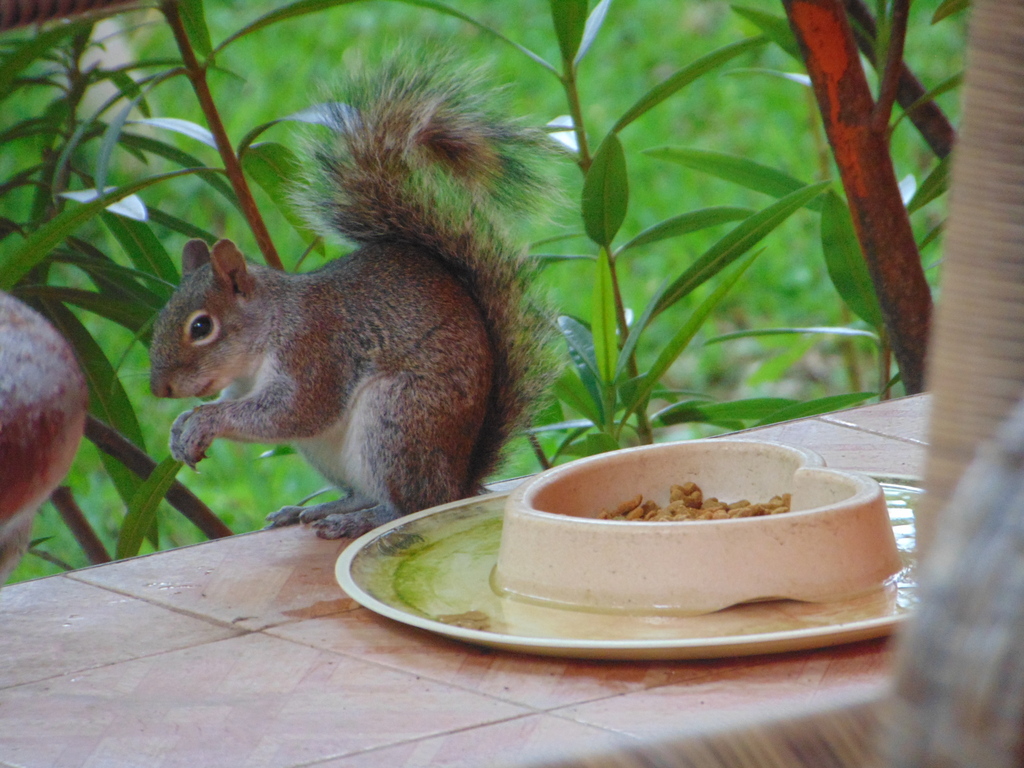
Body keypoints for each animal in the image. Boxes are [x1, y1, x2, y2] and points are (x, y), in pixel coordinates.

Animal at [148, 57, 554, 540]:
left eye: (201, 326)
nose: (159, 388)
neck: (268, 330)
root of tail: (459, 481)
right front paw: (181, 425)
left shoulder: (315, 353)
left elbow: (294, 411)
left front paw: (206, 421)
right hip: (332, 450)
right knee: (365, 490)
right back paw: (324, 509)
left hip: (398, 418)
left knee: (409, 505)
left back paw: (365, 519)